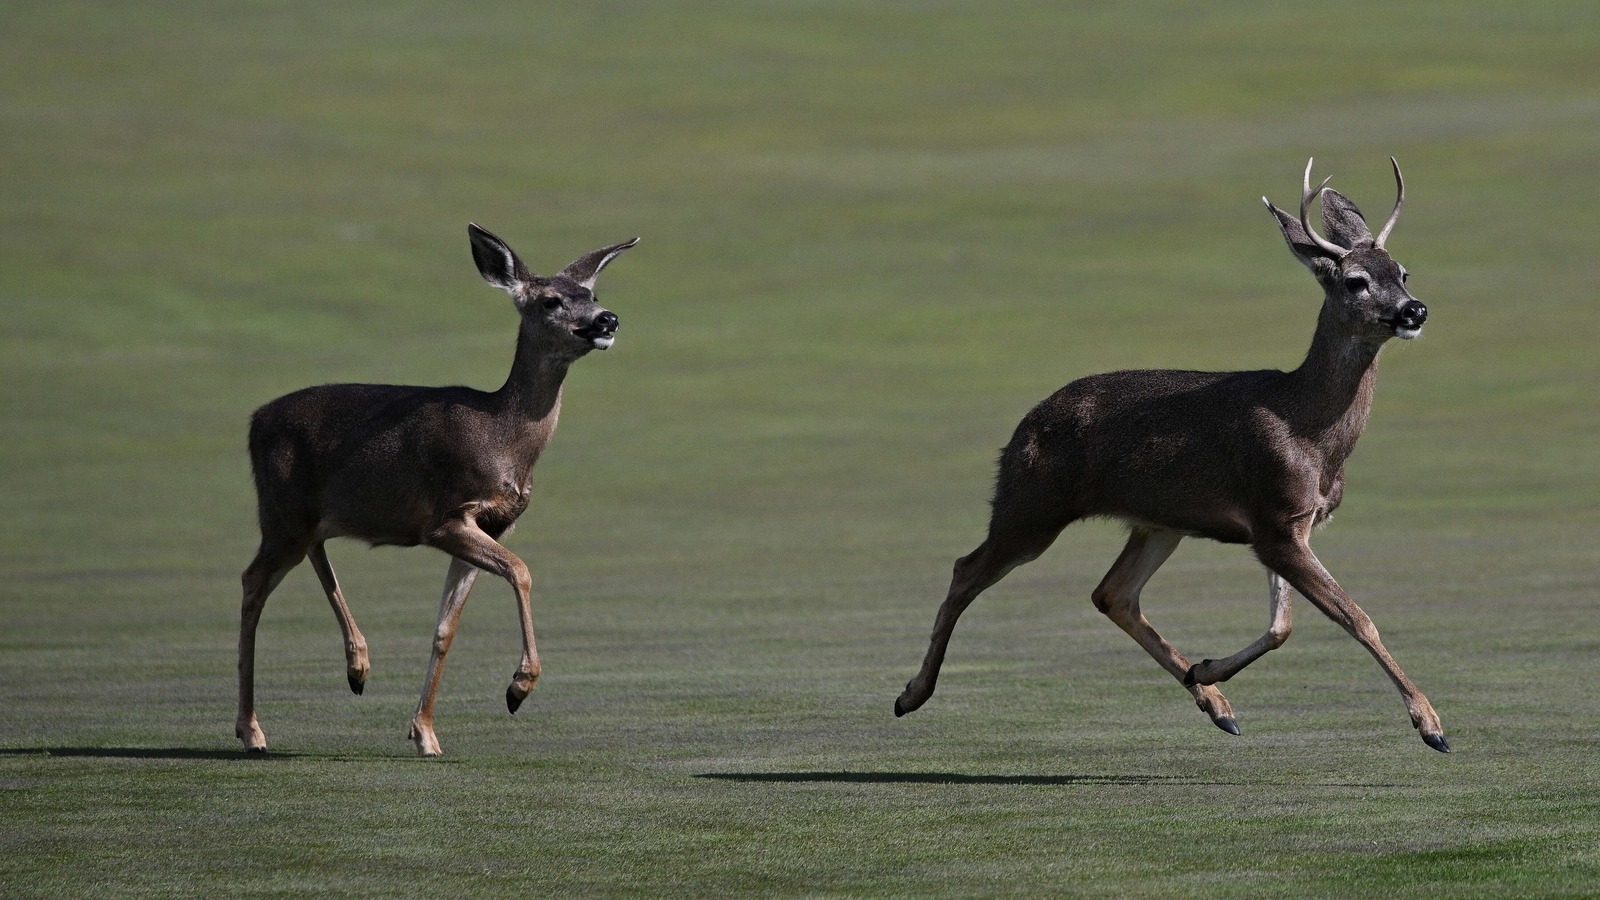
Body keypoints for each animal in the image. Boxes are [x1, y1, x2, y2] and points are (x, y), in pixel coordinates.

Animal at [236, 224, 638, 757]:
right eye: (551, 300)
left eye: (592, 294)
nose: (607, 319)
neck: (503, 437)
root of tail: (255, 421)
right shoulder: (445, 518)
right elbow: (522, 571)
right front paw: (518, 687)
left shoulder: (493, 525)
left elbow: (446, 626)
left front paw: (425, 733)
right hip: (280, 513)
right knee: (252, 583)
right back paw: (251, 730)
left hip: (307, 515)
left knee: (312, 555)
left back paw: (357, 668)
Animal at [894, 159, 1451, 753]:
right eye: (1356, 281)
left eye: (1403, 272)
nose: (1414, 310)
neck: (1310, 430)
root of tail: (1025, 425)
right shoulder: (1275, 520)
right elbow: (1356, 617)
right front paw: (1430, 725)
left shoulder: (1285, 524)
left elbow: (1282, 625)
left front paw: (1204, 668)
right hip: (1031, 504)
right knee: (966, 569)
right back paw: (911, 695)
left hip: (1158, 522)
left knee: (1112, 593)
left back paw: (1216, 704)